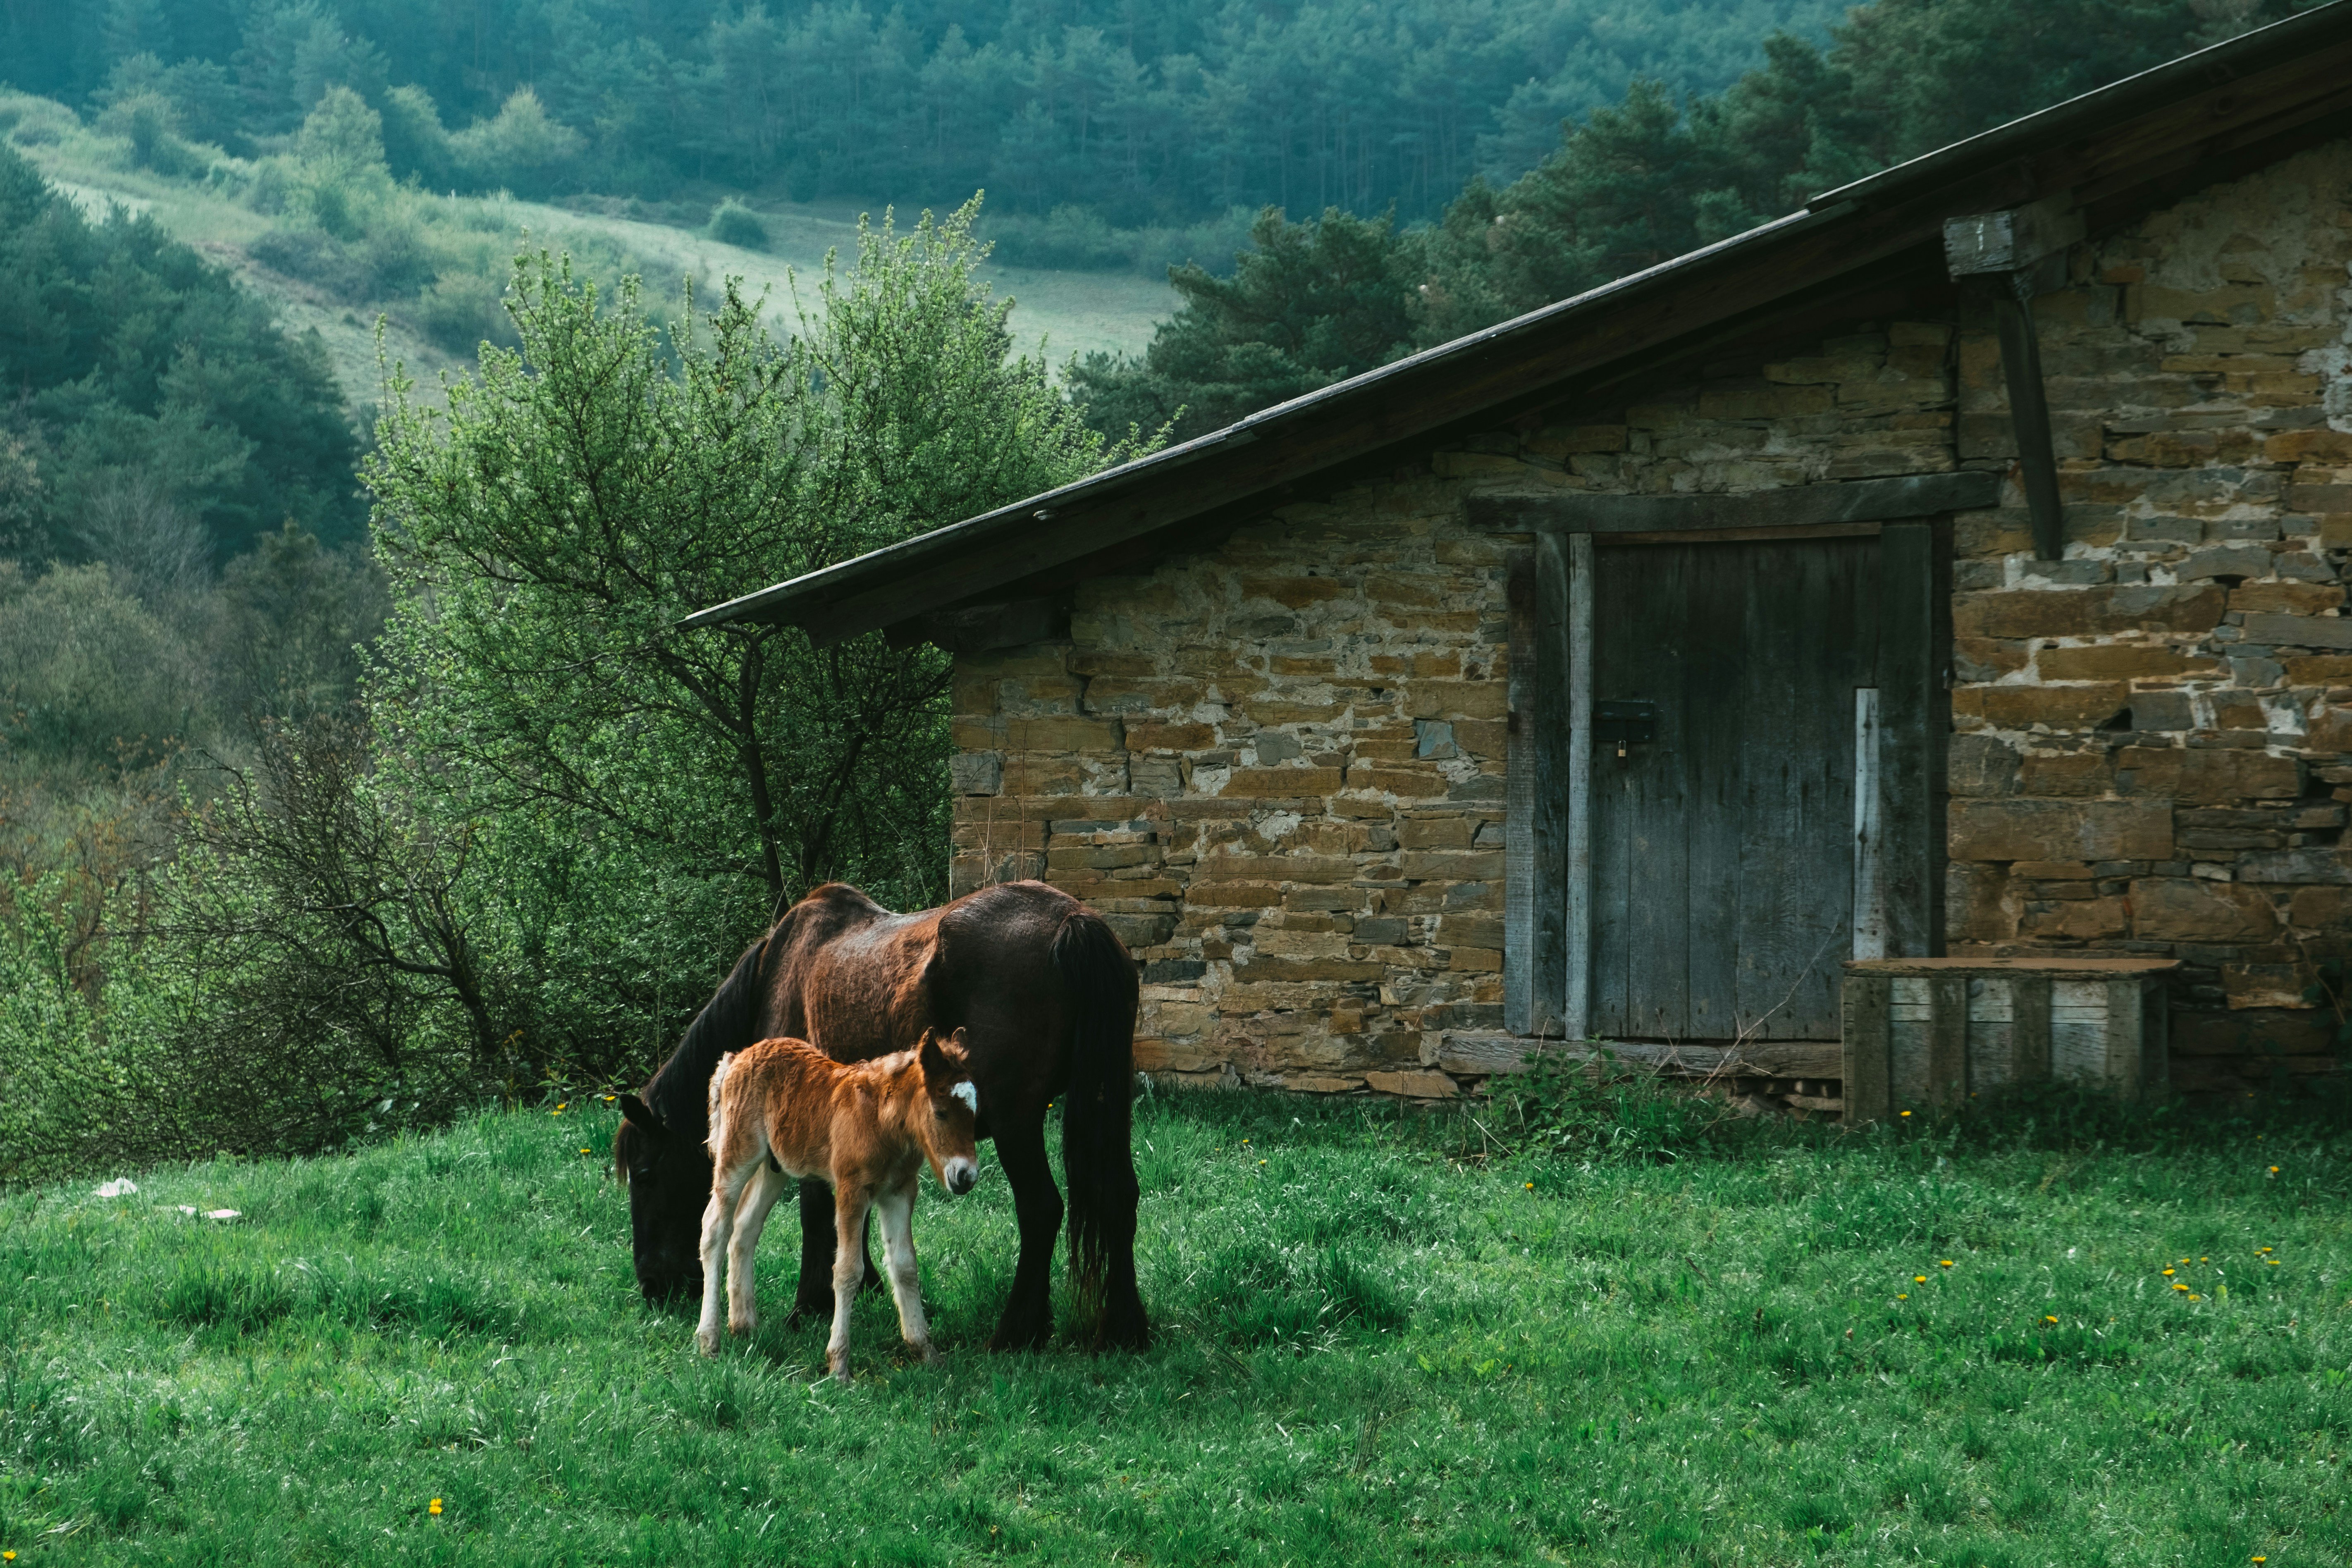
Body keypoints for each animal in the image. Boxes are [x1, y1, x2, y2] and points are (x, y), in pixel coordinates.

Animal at [697, 1029, 982, 1379]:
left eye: (973, 1114)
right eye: (940, 1112)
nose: (966, 1176)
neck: (881, 1121)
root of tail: (736, 1058)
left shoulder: (899, 1192)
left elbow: (905, 1266)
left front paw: (925, 1351)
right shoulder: (851, 1190)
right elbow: (848, 1270)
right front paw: (839, 1365)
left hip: (774, 1167)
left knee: (744, 1229)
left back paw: (744, 1326)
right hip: (738, 1153)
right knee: (714, 1229)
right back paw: (710, 1340)